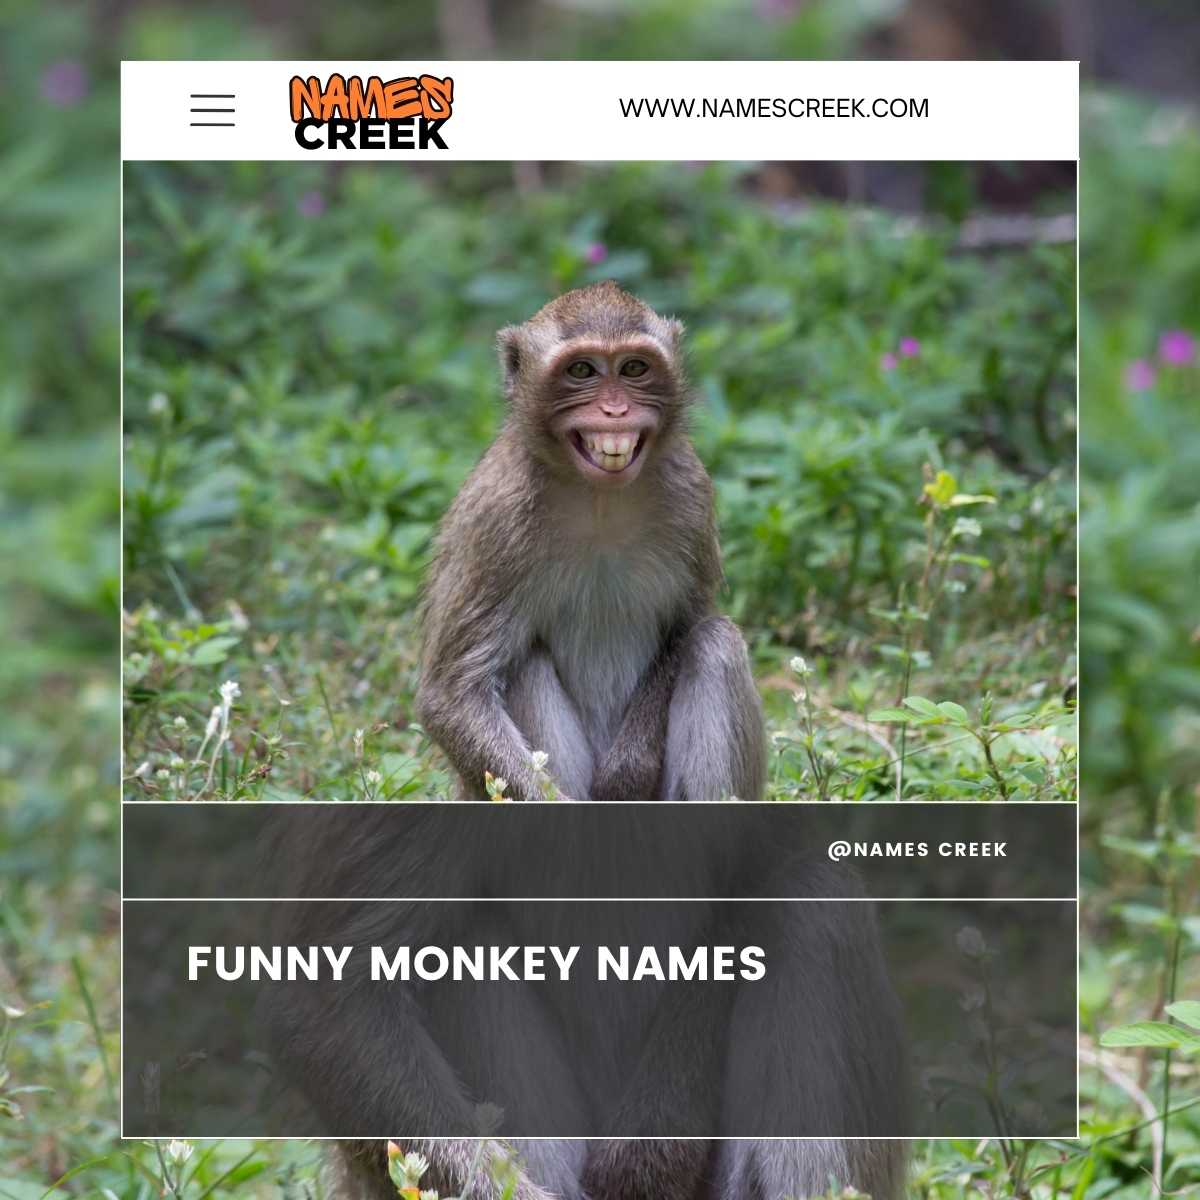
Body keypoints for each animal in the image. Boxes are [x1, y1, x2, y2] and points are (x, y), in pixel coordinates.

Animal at [267, 283, 906, 1200]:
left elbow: (693, 625)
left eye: (633, 369)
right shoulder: (497, 518)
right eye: (581, 373)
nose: (612, 410)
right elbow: (453, 691)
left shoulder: (689, 493)